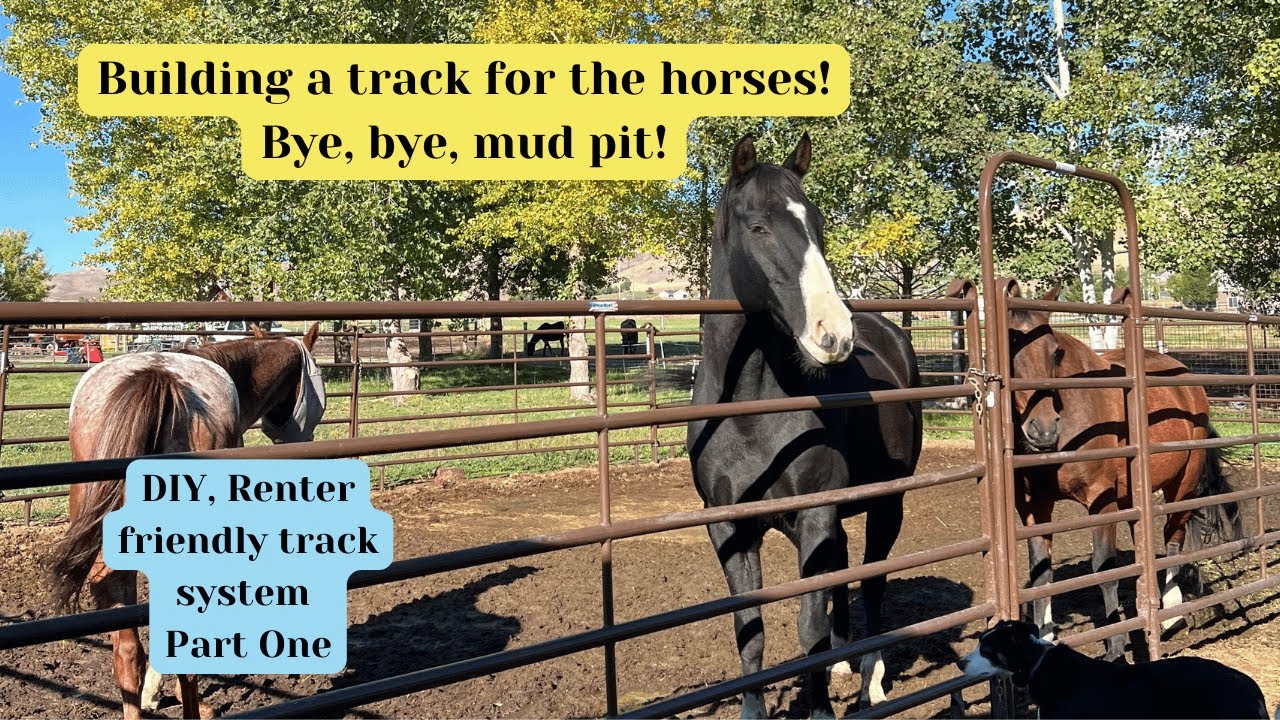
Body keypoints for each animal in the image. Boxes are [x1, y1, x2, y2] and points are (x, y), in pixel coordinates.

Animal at [687, 134, 922, 718]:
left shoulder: (815, 515)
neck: (749, 412)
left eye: (817, 225)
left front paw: (821, 709)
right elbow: (750, 629)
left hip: (888, 503)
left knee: (874, 585)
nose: (833, 333)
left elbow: (809, 626)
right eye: (758, 227)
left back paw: (871, 680)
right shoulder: (729, 527)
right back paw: (845, 664)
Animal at [1007, 285, 1242, 660]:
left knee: (1173, 537)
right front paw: (1043, 639)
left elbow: (1104, 570)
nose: (1042, 429)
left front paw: (1116, 647)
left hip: (1183, 482)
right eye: (1010, 345)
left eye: (1056, 352)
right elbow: (1040, 576)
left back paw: (1169, 613)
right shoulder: (1033, 506)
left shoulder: (1100, 502)